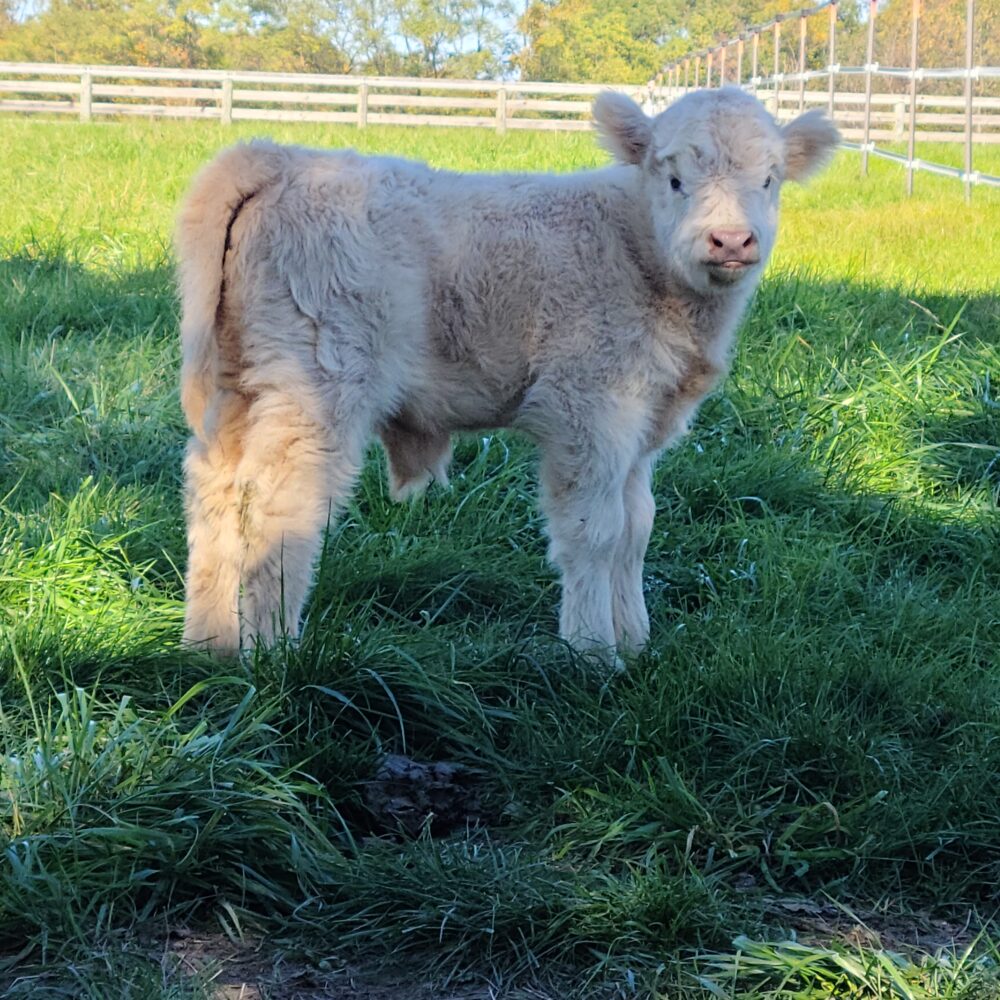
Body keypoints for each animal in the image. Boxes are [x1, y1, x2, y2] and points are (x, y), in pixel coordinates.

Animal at [175, 86, 838, 662]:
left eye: (769, 179)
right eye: (675, 180)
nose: (730, 240)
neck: (637, 249)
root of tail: (281, 157)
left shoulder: (643, 424)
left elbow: (637, 528)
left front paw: (636, 642)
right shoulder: (588, 409)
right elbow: (596, 531)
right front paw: (594, 654)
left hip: (239, 383)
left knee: (213, 494)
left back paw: (209, 645)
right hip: (315, 382)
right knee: (279, 509)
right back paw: (273, 656)